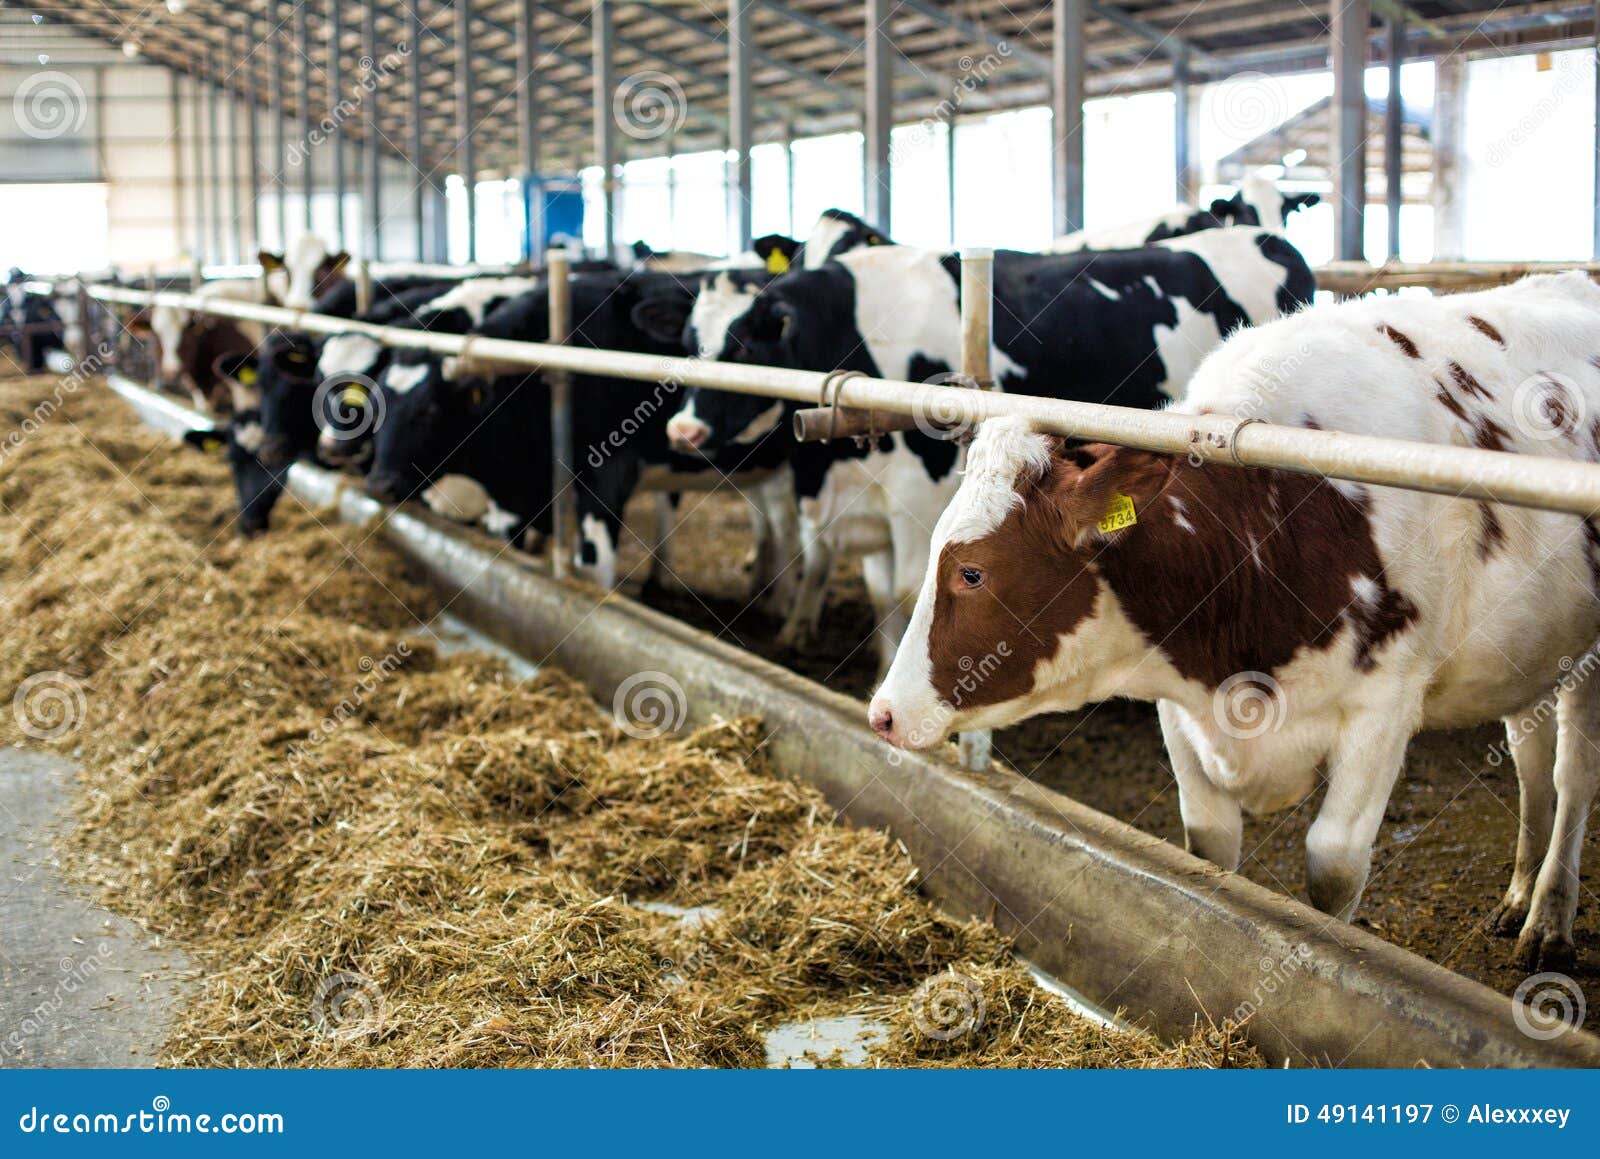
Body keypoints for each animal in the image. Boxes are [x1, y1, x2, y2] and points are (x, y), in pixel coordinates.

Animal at [646, 227, 1315, 674]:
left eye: (743, 343)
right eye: (689, 338)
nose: (682, 431)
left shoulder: (917, 490)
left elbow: (907, 590)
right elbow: (879, 593)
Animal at [869, 272, 1600, 972]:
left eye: (972, 572)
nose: (882, 713)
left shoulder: (1385, 704)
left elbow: (1333, 865)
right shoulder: (1177, 700)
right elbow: (1208, 847)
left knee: (1573, 776)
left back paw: (1548, 921)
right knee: (1530, 757)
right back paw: (1518, 895)